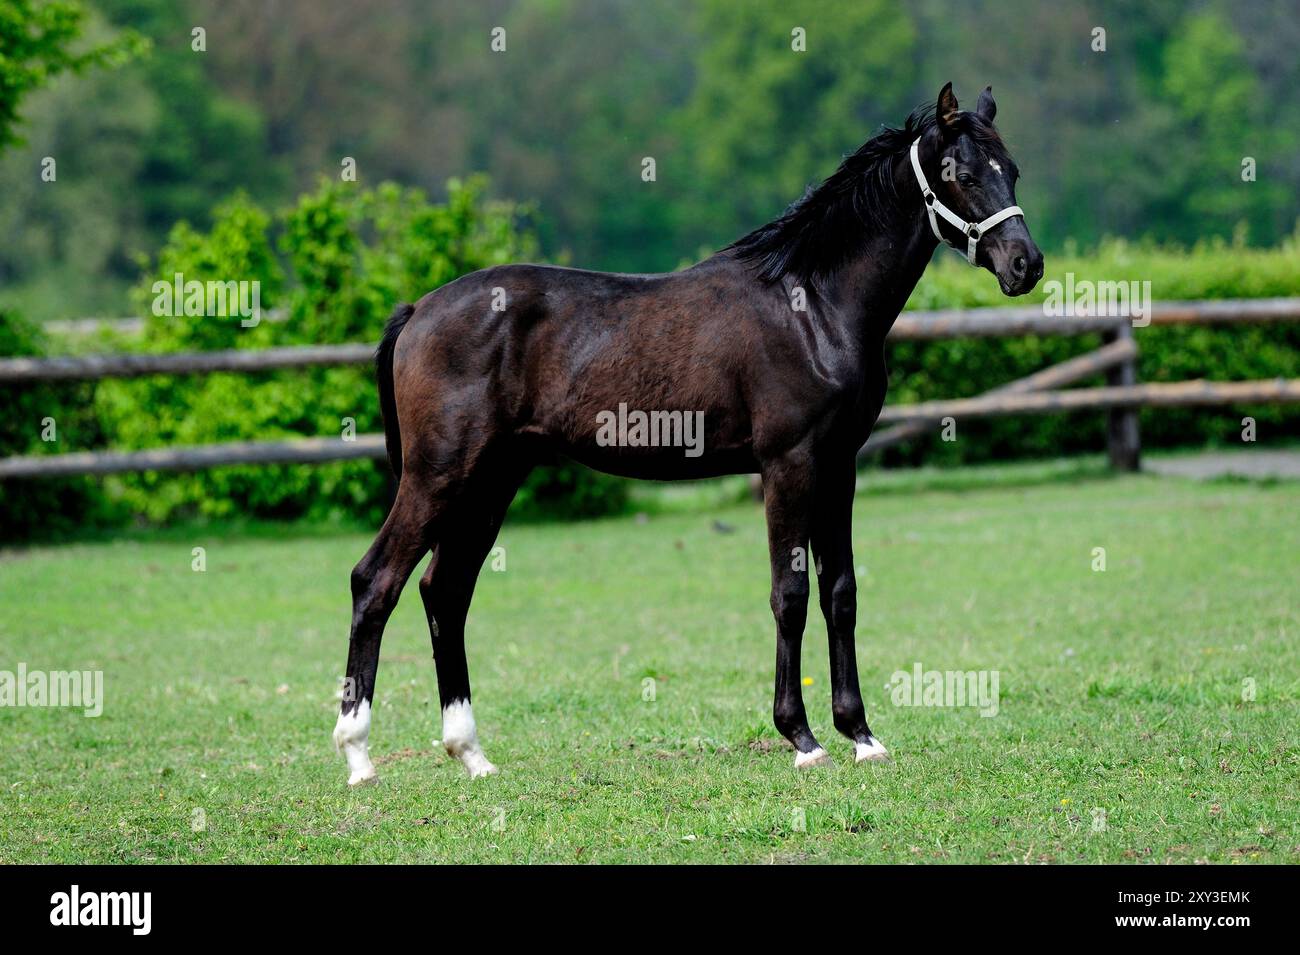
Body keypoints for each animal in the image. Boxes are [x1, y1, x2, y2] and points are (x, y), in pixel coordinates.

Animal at [333, 83, 1043, 784]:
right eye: (960, 174)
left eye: (1011, 170)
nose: (1026, 265)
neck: (811, 307)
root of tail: (418, 309)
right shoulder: (789, 465)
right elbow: (789, 594)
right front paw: (802, 738)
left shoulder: (839, 464)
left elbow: (840, 591)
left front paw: (861, 736)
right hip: (438, 476)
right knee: (375, 582)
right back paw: (359, 756)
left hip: (492, 479)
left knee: (444, 591)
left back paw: (471, 753)